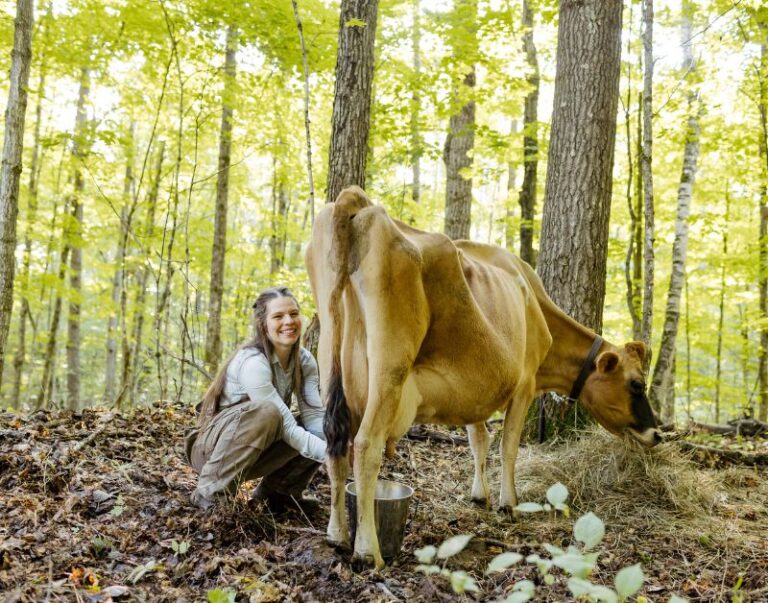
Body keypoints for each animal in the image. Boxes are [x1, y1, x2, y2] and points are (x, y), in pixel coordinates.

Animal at [305, 186, 660, 569]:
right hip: (390, 365)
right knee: (365, 445)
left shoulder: (473, 390)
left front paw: (480, 495)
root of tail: (357, 200)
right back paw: (367, 550)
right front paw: (509, 502)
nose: (658, 433)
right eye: (636, 384)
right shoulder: (525, 383)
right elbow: (508, 447)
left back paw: (337, 535)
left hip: (328, 350)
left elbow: (479, 439)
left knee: (334, 444)